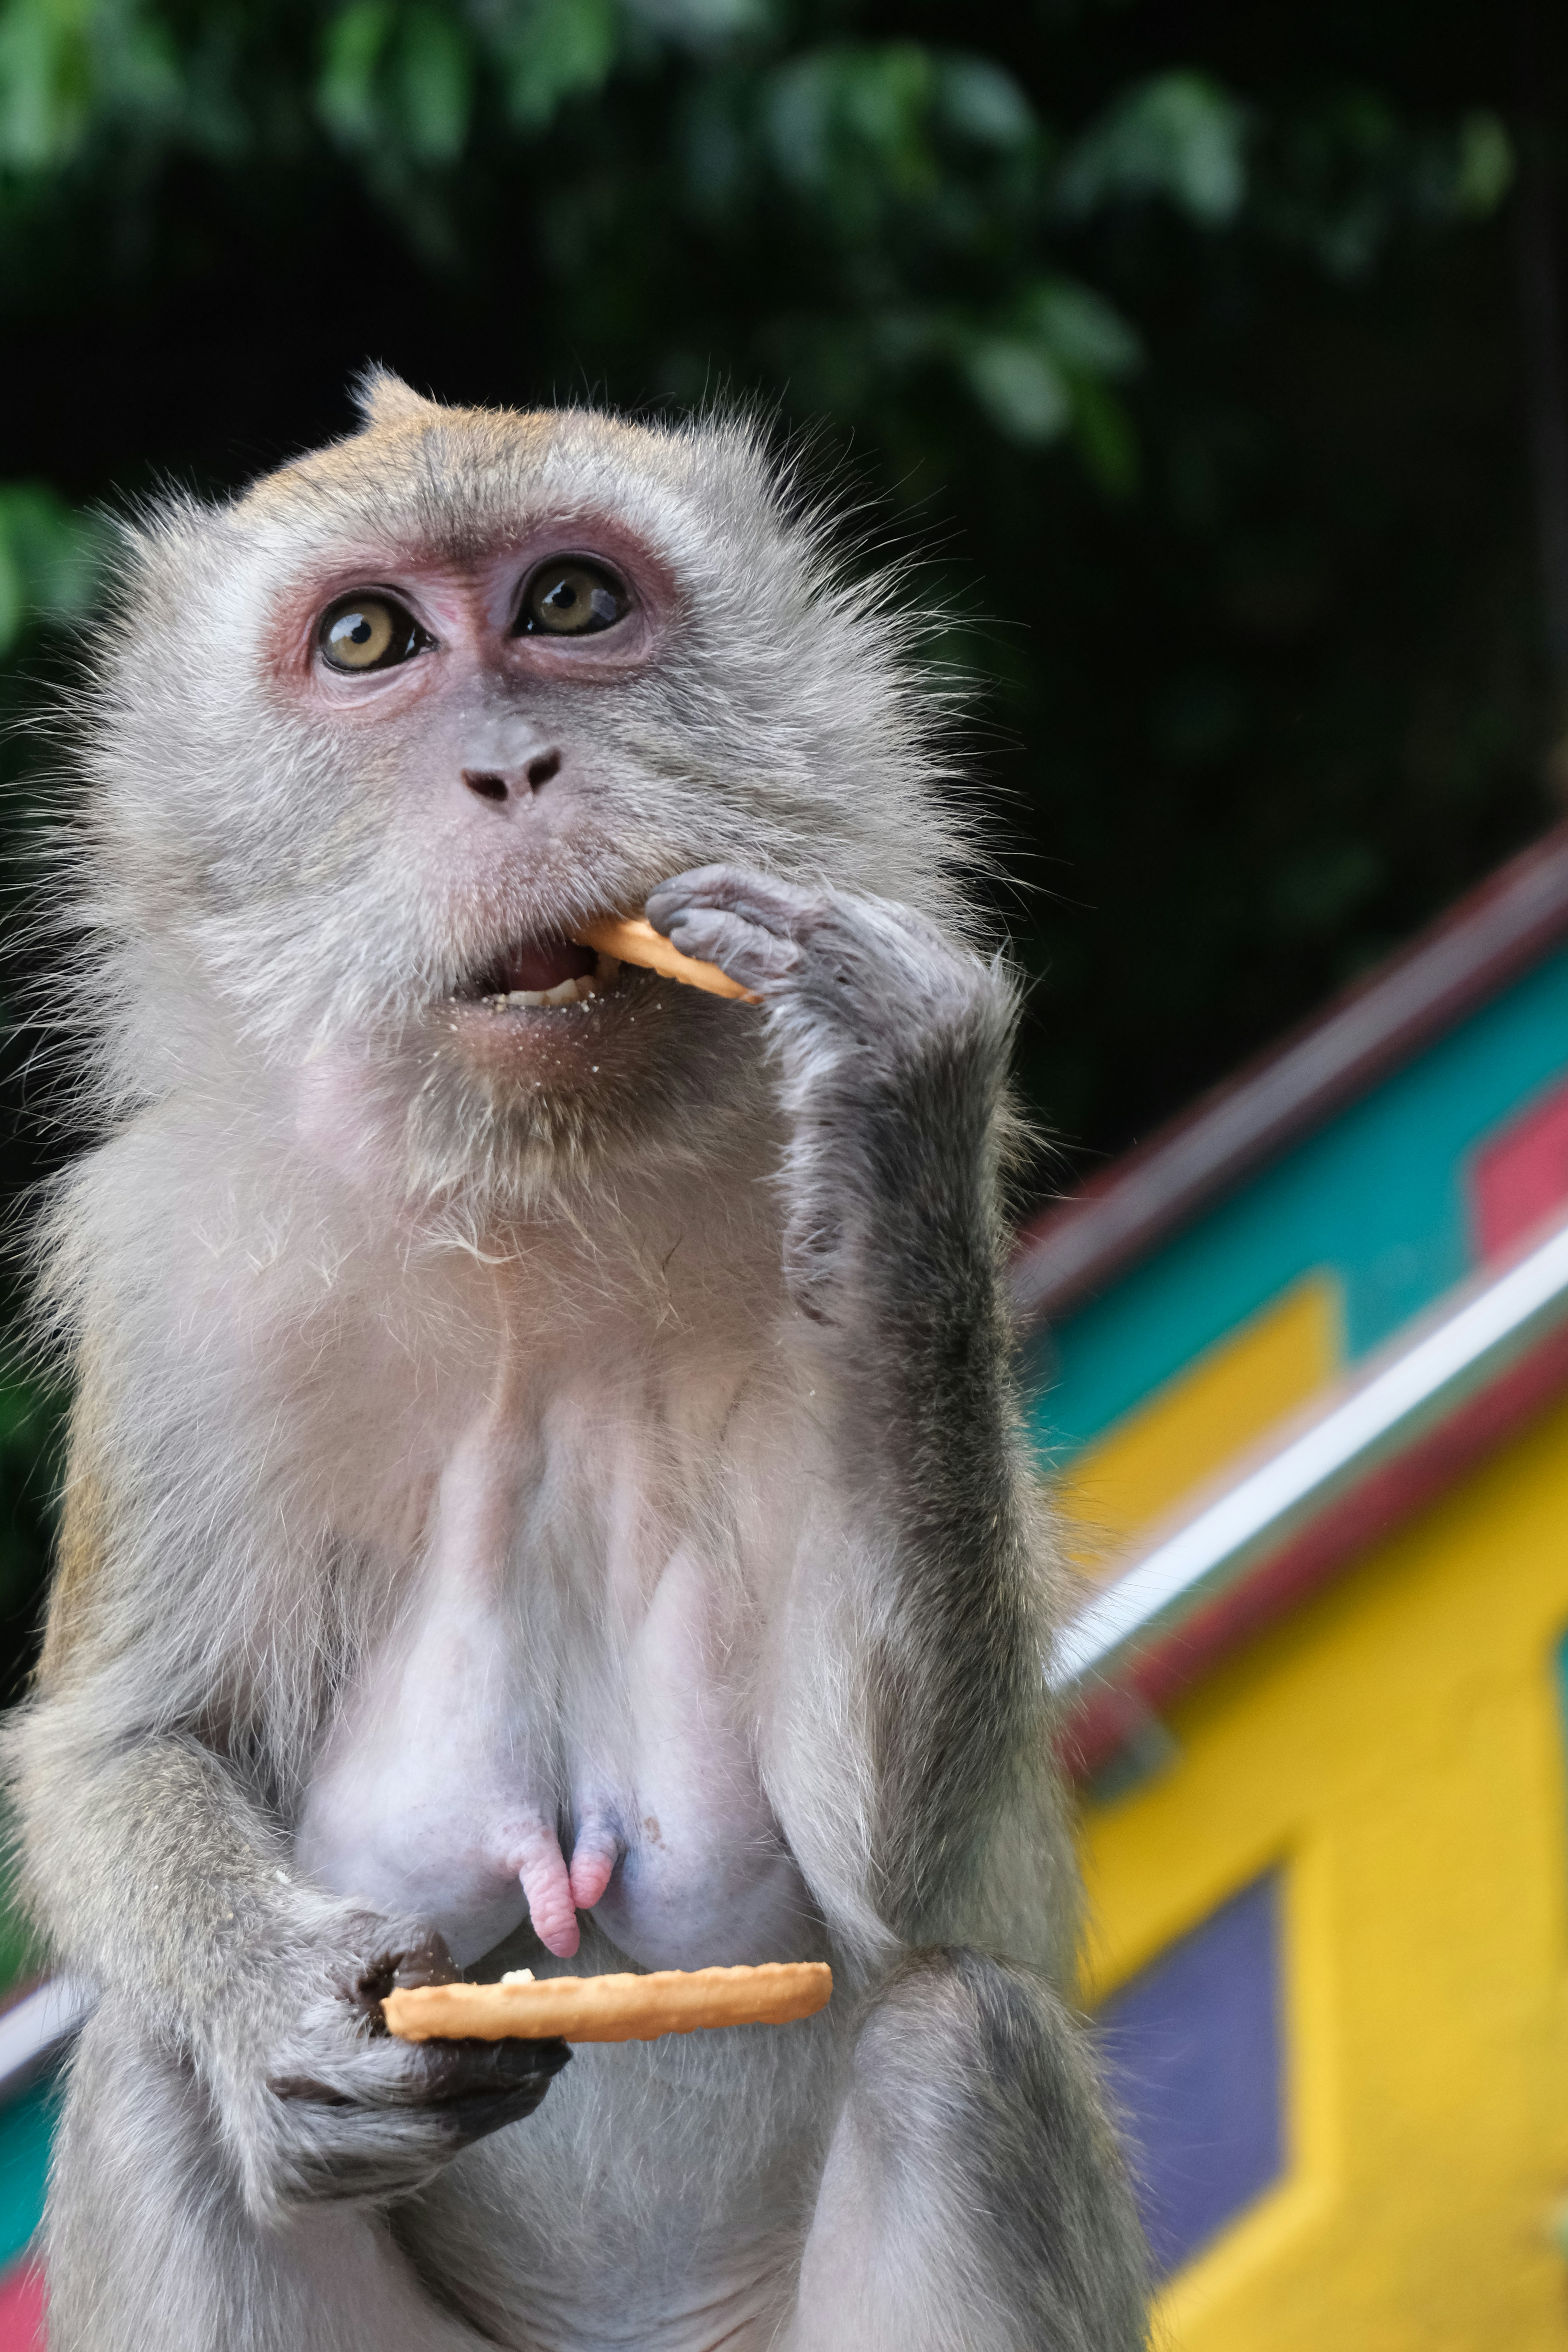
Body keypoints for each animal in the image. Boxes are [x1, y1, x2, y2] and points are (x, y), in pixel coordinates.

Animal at [5, 374, 1147, 2352]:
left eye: (565, 606)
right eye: (369, 640)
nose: (514, 772)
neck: (532, 1217)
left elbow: (912, 1872)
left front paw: (887, 1123)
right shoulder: (171, 1288)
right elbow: (107, 1743)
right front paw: (281, 2012)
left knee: (960, 2045)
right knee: (153, 2088)